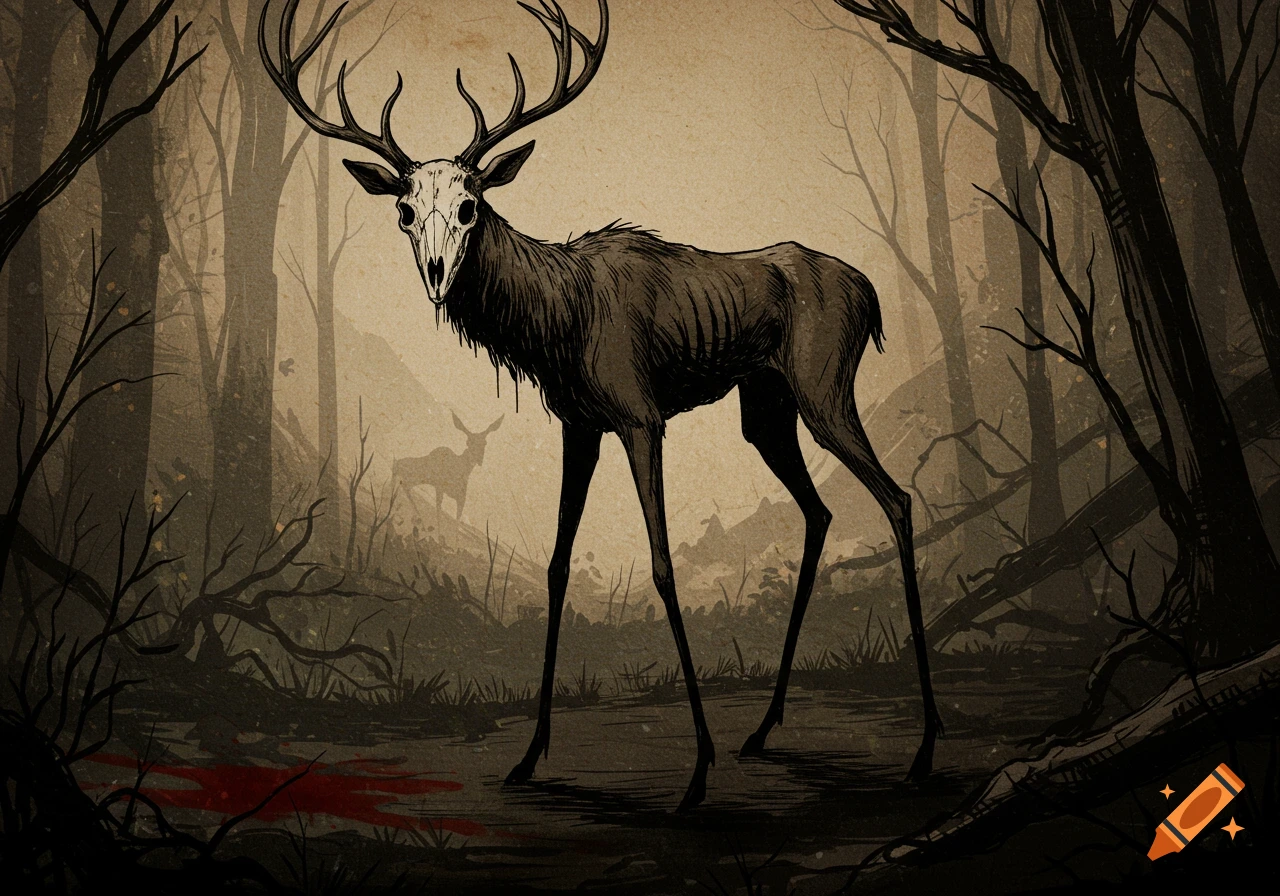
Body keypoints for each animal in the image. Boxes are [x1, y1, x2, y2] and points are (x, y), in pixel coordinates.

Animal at [260, 0, 942, 812]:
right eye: (403, 211)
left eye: (469, 205)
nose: (436, 274)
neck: (555, 325)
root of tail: (870, 293)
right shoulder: (578, 422)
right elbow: (557, 563)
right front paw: (529, 755)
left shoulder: (640, 416)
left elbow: (661, 565)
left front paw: (696, 770)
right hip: (766, 407)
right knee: (820, 511)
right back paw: (763, 729)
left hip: (823, 387)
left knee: (897, 498)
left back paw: (923, 745)